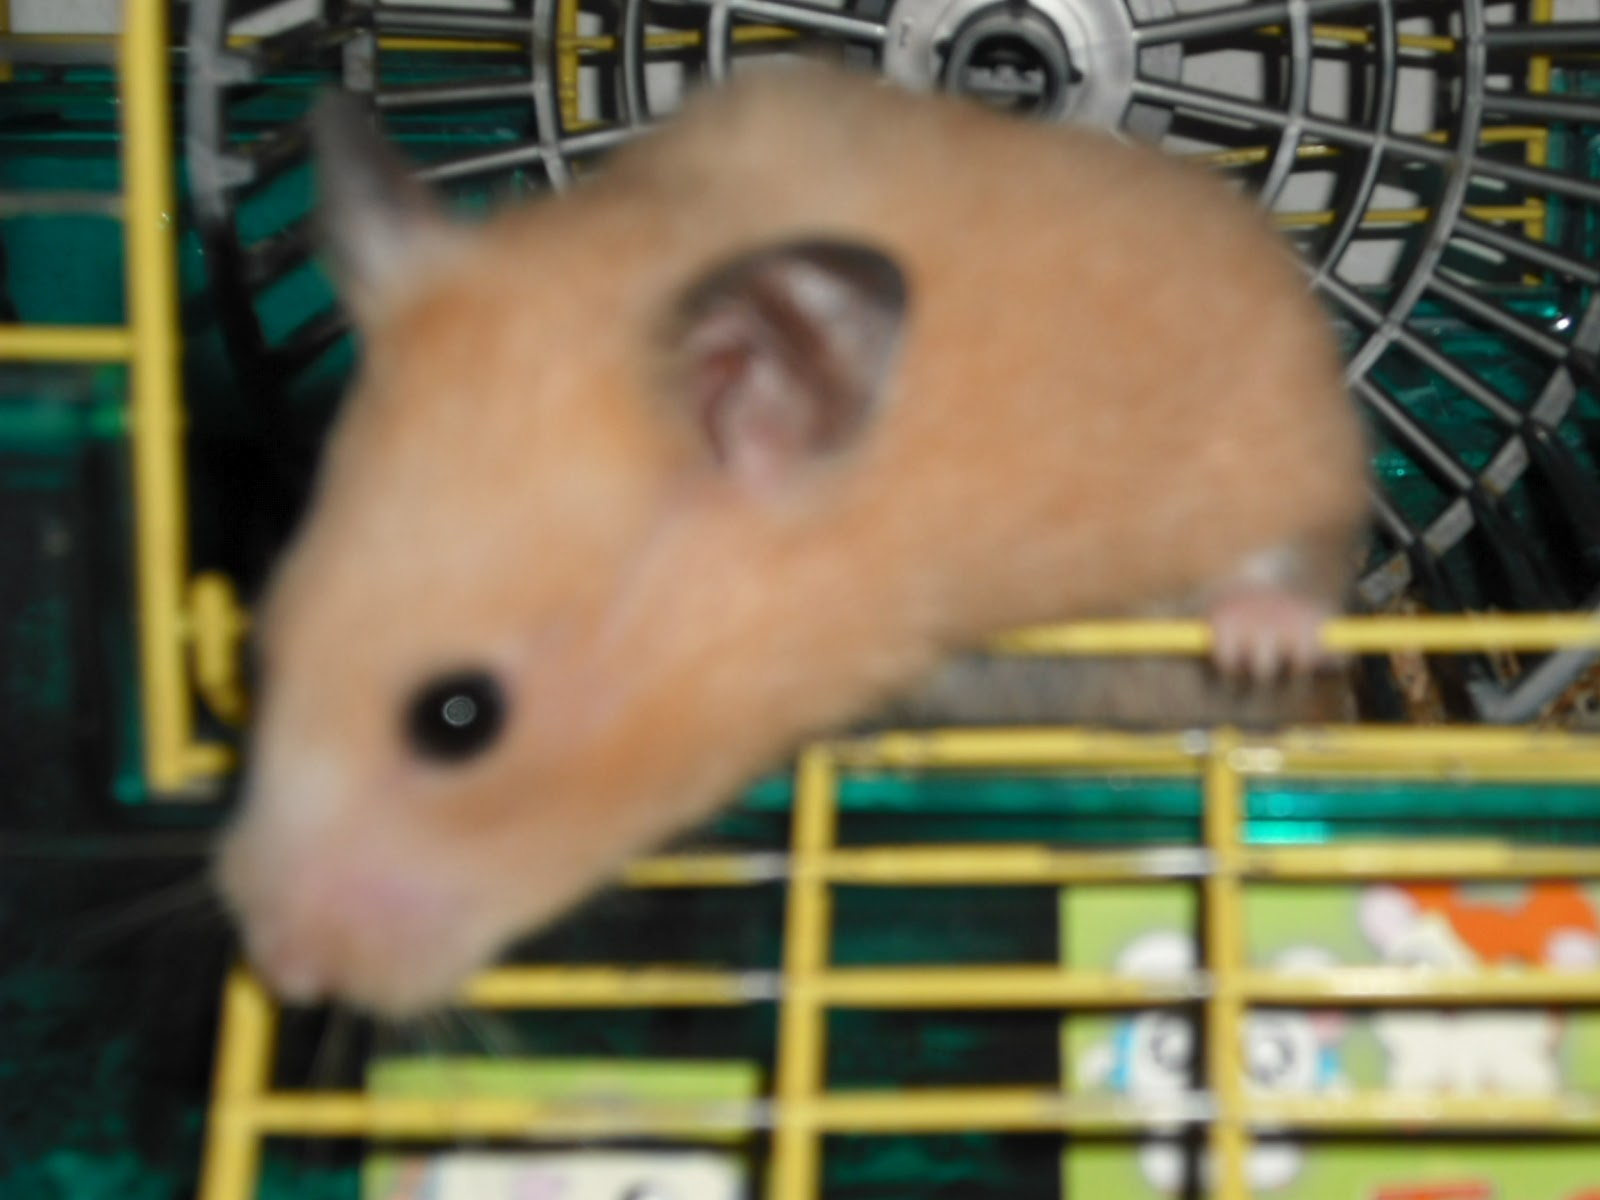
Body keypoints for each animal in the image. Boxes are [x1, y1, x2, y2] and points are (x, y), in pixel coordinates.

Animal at [217, 63, 1370, 1018]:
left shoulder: (1262, 423)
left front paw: (1258, 640)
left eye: (457, 718)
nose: (283, 968)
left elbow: (1278, 552)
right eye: (263, 650)